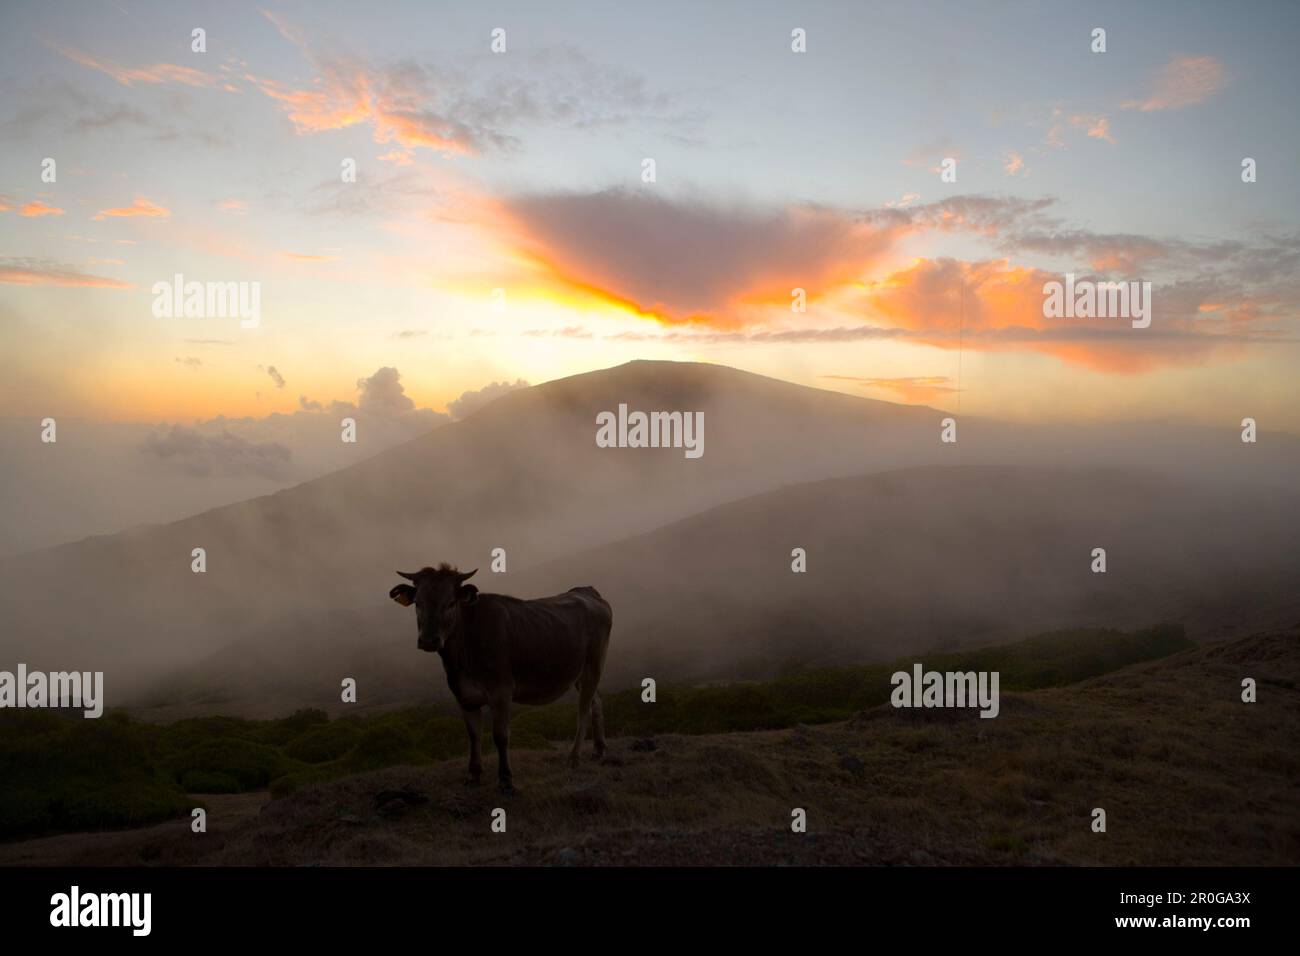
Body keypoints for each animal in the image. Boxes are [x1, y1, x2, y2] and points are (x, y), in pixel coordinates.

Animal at [388, 564, 612, 794]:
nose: (428, 640)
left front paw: (506, 780)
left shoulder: (501, 691)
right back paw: (599, 750)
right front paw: (473, 775)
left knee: (583, 711)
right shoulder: (463, 694)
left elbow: (500, 735)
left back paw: (574, 758)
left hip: (594, 664)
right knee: (596, 702)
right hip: (578, 673)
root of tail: (586, 591)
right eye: (418, 603)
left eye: (450, 602)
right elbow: (474, 734)